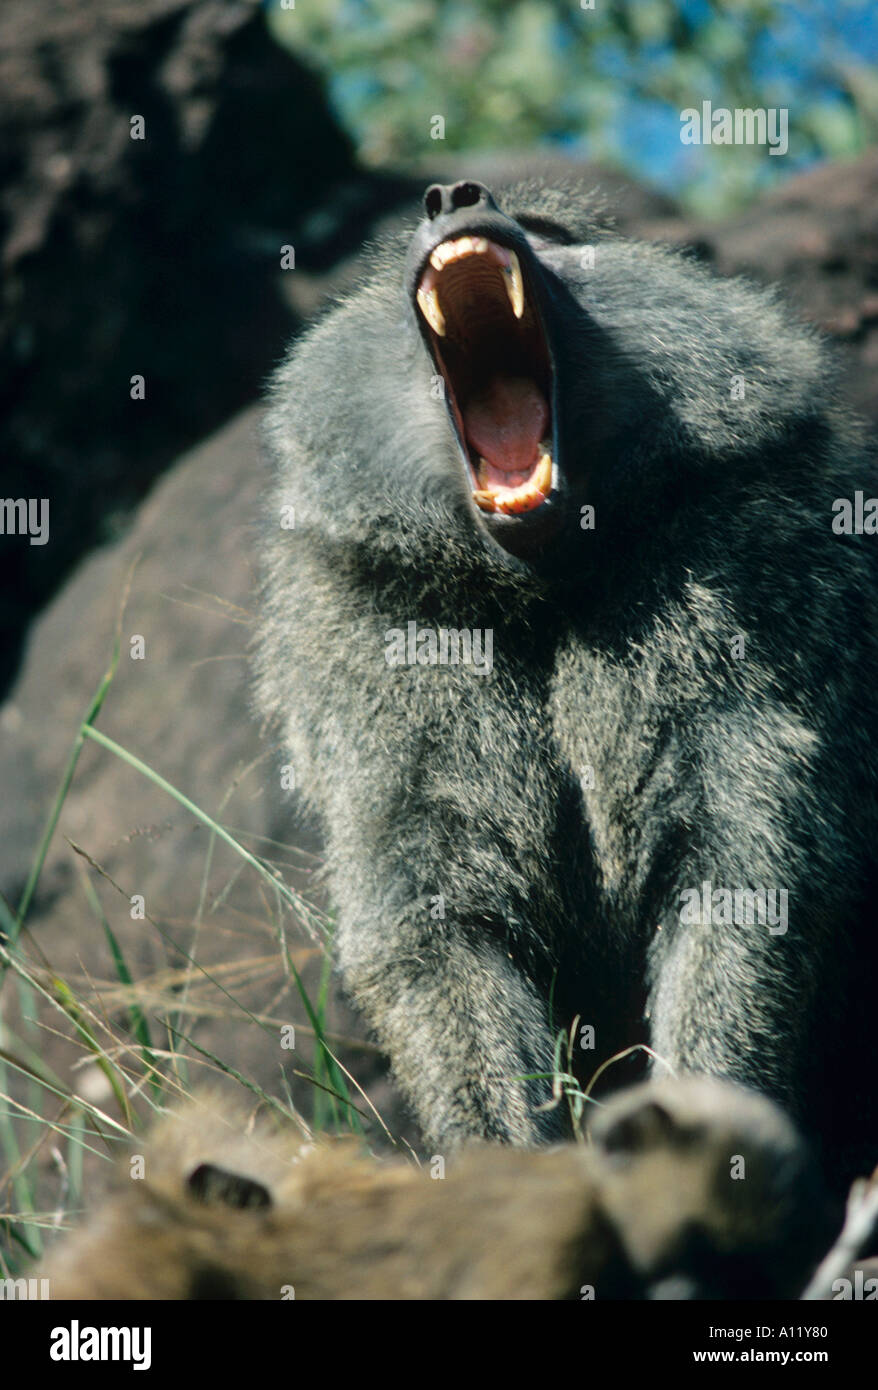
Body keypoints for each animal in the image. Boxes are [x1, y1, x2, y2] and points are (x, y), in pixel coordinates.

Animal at [254, 176, 878, 1191]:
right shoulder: (371, 638)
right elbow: (433, 928)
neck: (546, 587)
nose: (453, 194)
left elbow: (747, 883)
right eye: (422, 214)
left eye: (546, 230)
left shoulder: (759, 575)